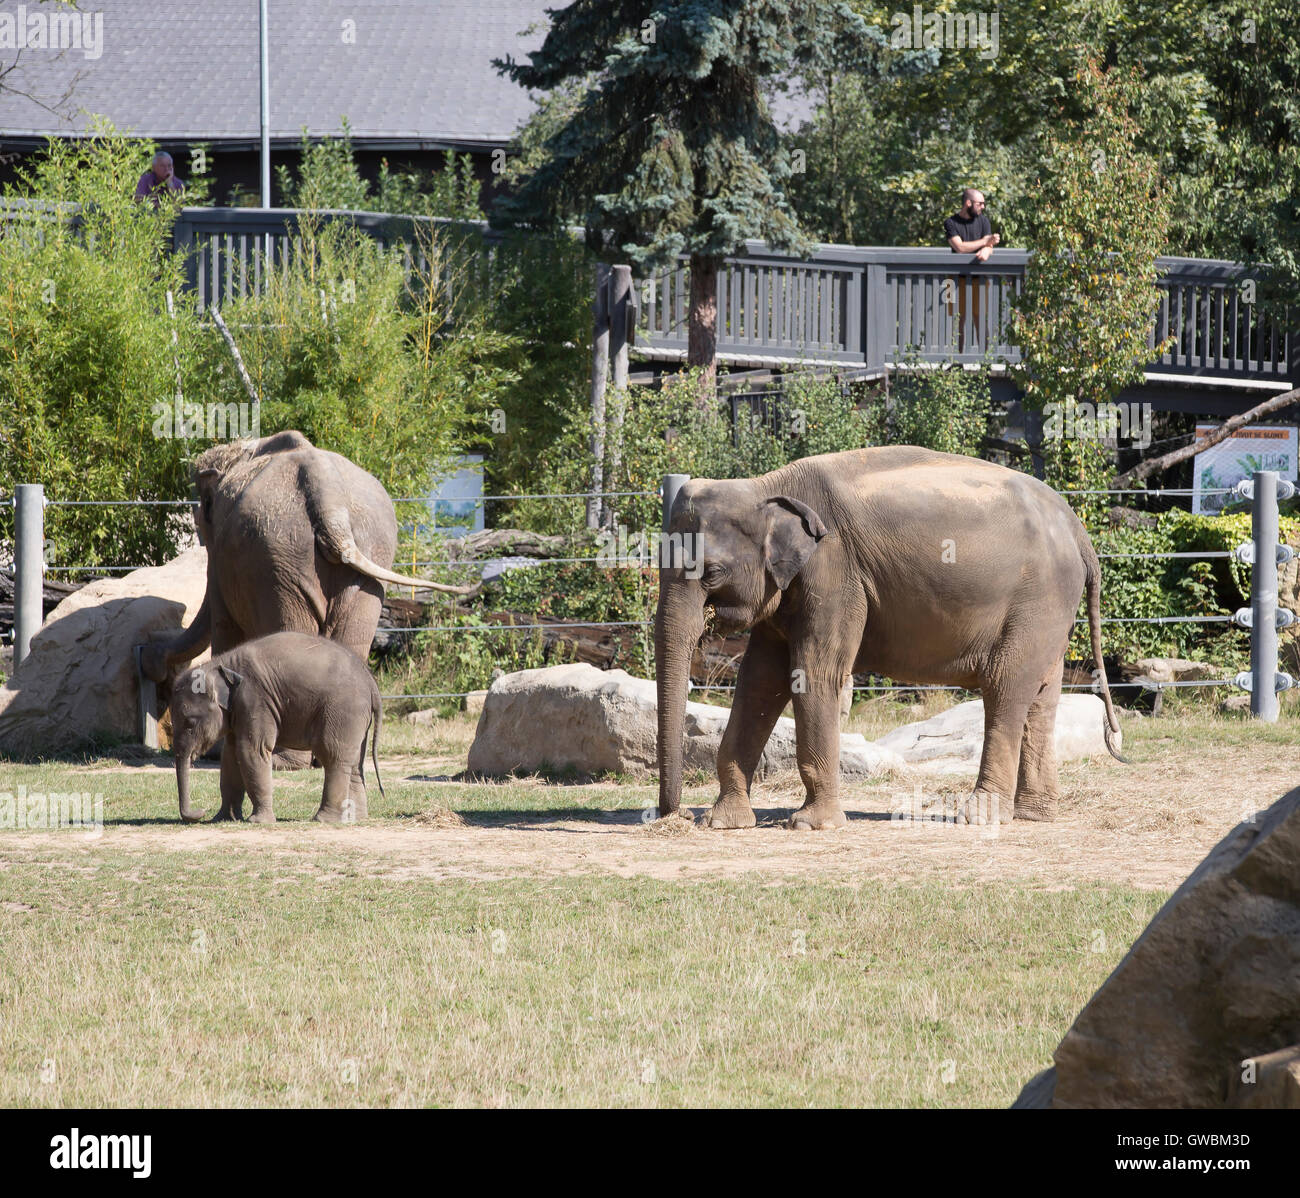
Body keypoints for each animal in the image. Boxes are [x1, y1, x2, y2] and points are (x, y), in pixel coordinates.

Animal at [140, 430, 474, 760]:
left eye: (199, 520)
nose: (152, 664)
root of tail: (330, 502)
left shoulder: (223, 567)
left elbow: (224, 627)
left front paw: (218, 752)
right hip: (353, 553)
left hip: (276, 558)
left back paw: (285, 759)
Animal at [170, 631, 384, 825]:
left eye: (190, 723)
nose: (201, 811)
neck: (220, 664)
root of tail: (372, 684)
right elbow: (230, 755)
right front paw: (223, 819)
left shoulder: (255, 699)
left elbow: (251, 751)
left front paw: (258, 822)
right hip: (356, 718)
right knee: (355, 762)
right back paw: (355, 817)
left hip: (342, 711)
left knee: (333, 756)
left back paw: (324, 819)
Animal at [655, 446, 1124, 830]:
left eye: (712, 572)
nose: (677, 816)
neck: (766, 486)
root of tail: (1078, 530)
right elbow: (759, 680)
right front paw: (723, 822)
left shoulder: (836, 571)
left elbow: (814, 672)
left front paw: (811, 825)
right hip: (1050, 609)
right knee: (1042, 695)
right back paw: (1034, 815)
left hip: (1038, 599)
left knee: (1005, 685)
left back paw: (980, 817)